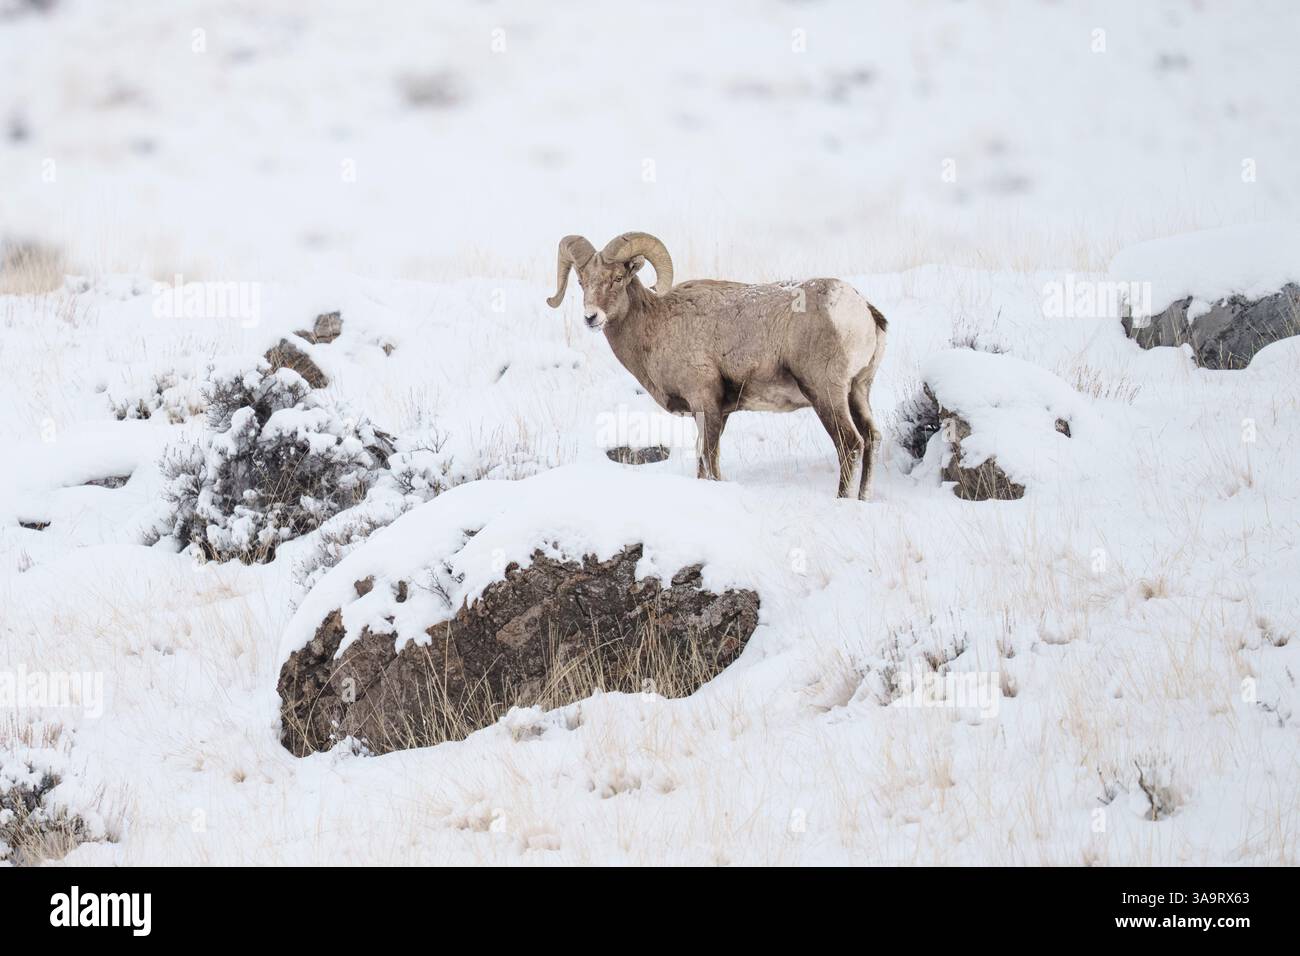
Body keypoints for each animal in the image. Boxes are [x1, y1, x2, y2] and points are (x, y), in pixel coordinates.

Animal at [546, 231, 888, 499]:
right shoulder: (715, 413)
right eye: (582, 282)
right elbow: (703, 465)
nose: (591, 318)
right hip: (858, 390)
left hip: (825, 394)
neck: (656, 325)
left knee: (850, 444)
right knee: (871, 438)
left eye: (618, 278)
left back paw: (842, 499)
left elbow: (710, 464)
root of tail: (861, 309)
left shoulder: (706, 405)